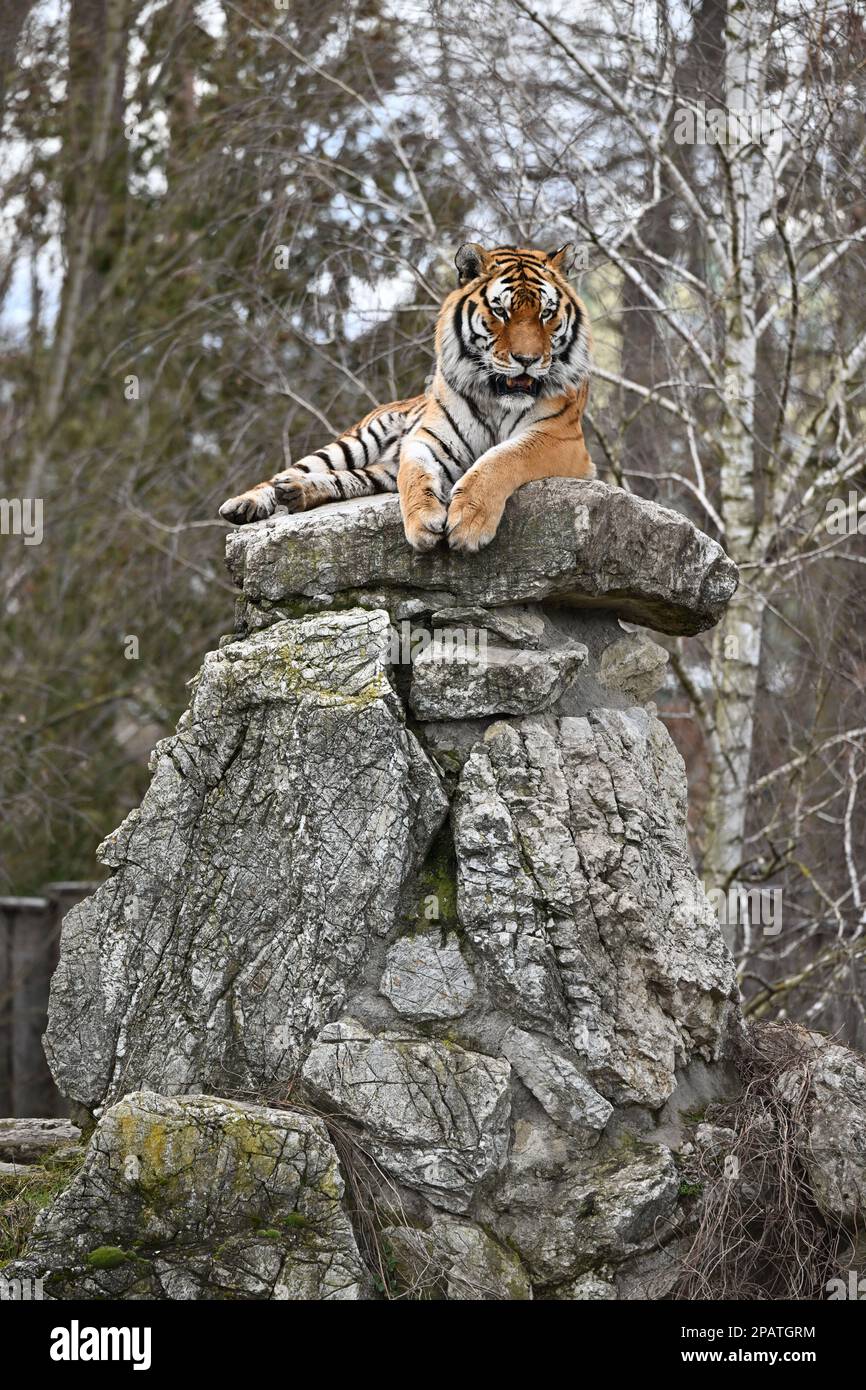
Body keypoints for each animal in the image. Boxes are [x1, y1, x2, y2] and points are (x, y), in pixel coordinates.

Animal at [219, 242, 594, 552]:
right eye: (501, 311)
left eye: (546, 313)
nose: (527, 360)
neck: (496, 398)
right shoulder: (427, 438)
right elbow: (415, 474)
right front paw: (423, 522)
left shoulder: (559, 439)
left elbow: (500, 459)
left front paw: (467, 523)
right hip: (356, 441)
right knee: (298, 469)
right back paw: (245, 503)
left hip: (378, 471)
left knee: (349, 478)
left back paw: (296, 491)